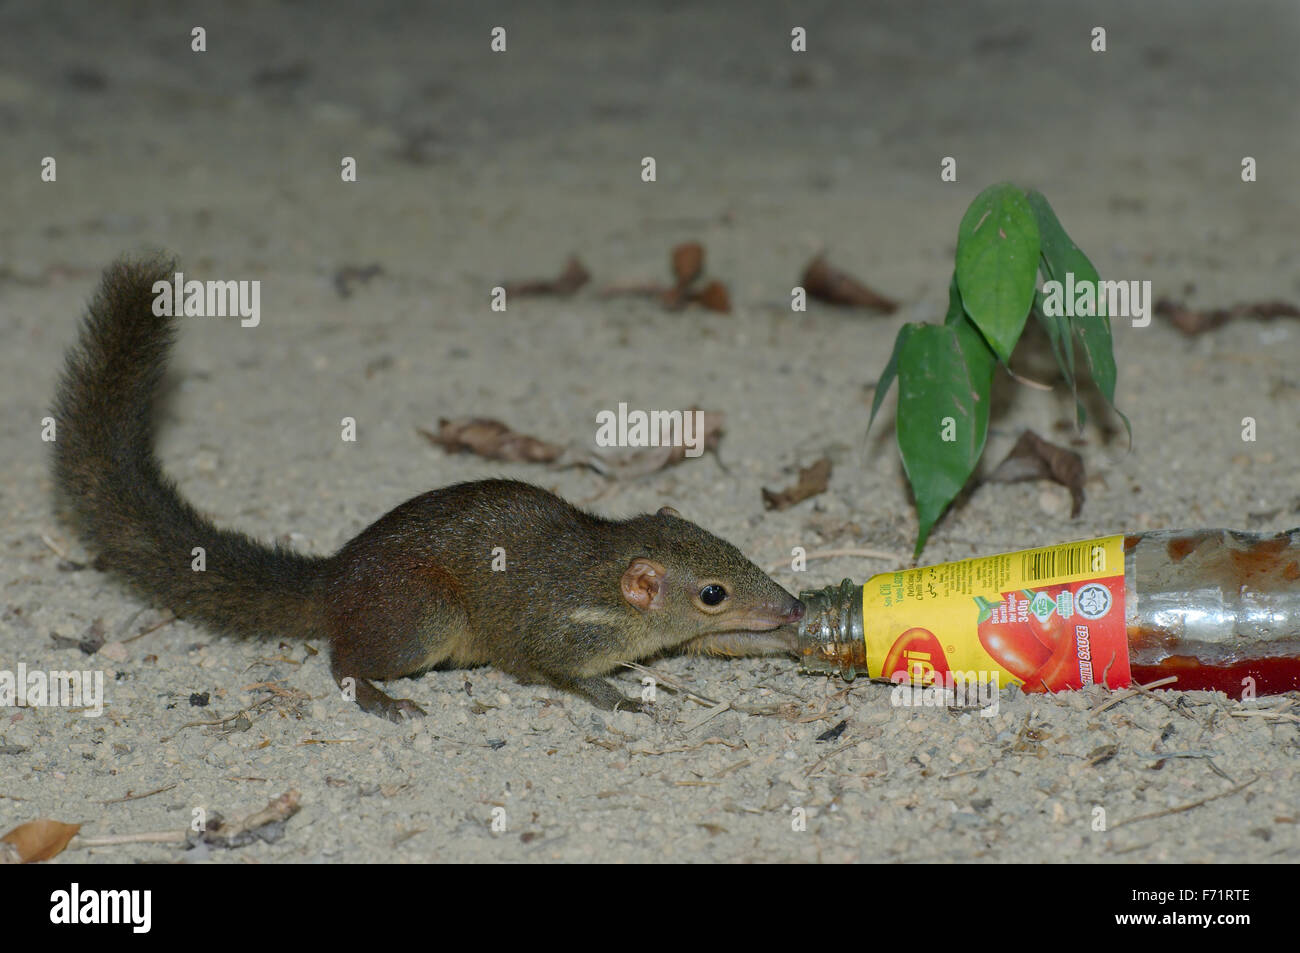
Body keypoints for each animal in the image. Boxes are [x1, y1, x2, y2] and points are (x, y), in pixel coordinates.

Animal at [50, 256, 805, 721]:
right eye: (713, 593)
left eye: (737, 553)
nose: (795, 606)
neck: (604, 582)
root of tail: (334, 578)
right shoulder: (556, 640)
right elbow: (570, 676)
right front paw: (627, 701)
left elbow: (733, 647)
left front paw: (795, 639)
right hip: (424, 617)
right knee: (342, 657)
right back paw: (381, 699)